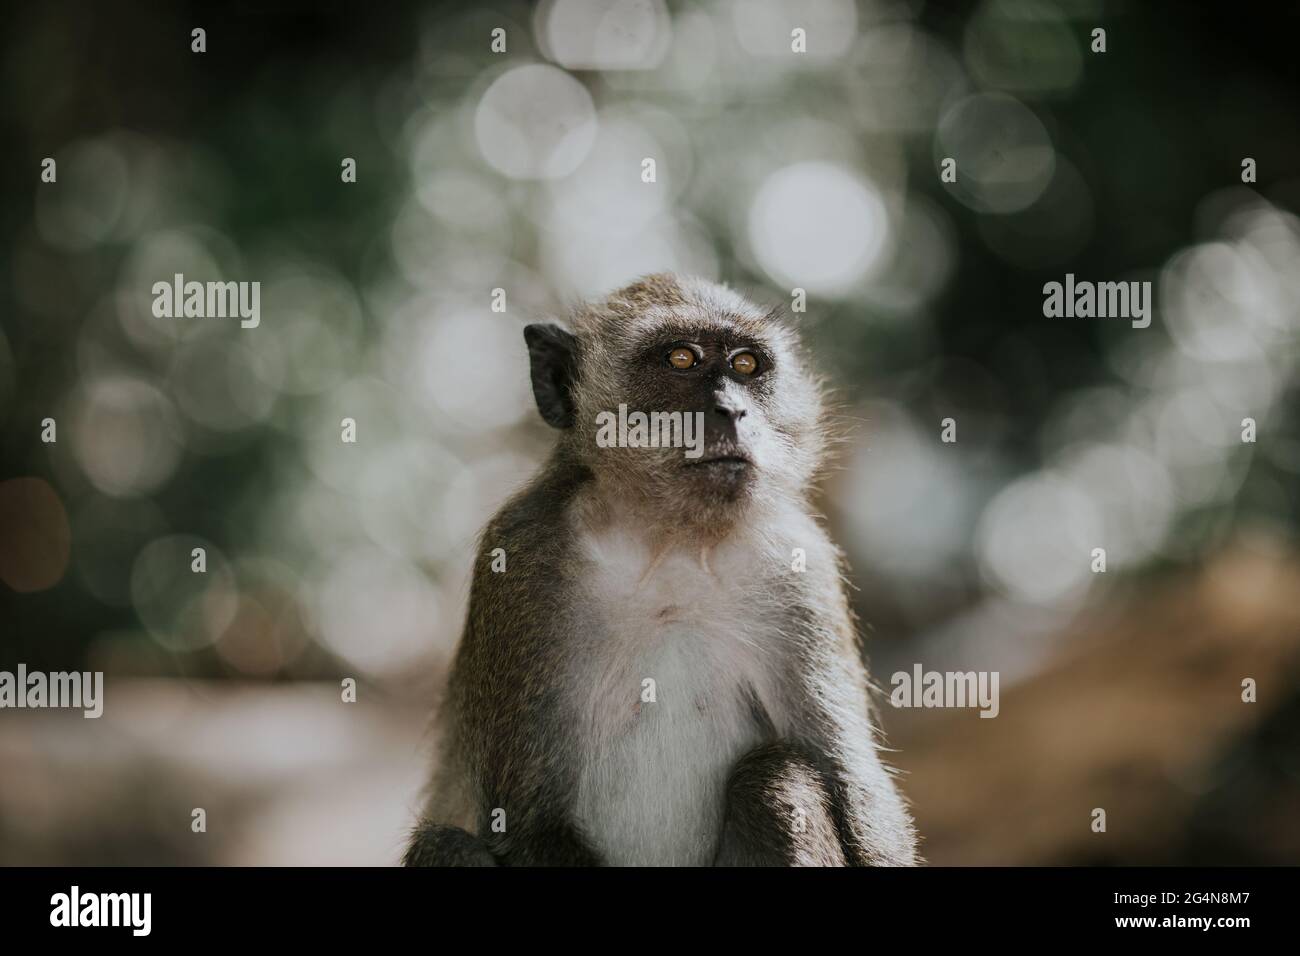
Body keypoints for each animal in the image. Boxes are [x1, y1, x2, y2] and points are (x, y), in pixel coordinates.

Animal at [404, 273, 918, 867]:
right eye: (680, 358)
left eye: (746, 365)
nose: (732, 412)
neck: (671, 546)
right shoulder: (519, 557)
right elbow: (526, 822)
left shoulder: (800, 568)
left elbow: (851, 788)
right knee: (444, 845)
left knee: (775, 780)